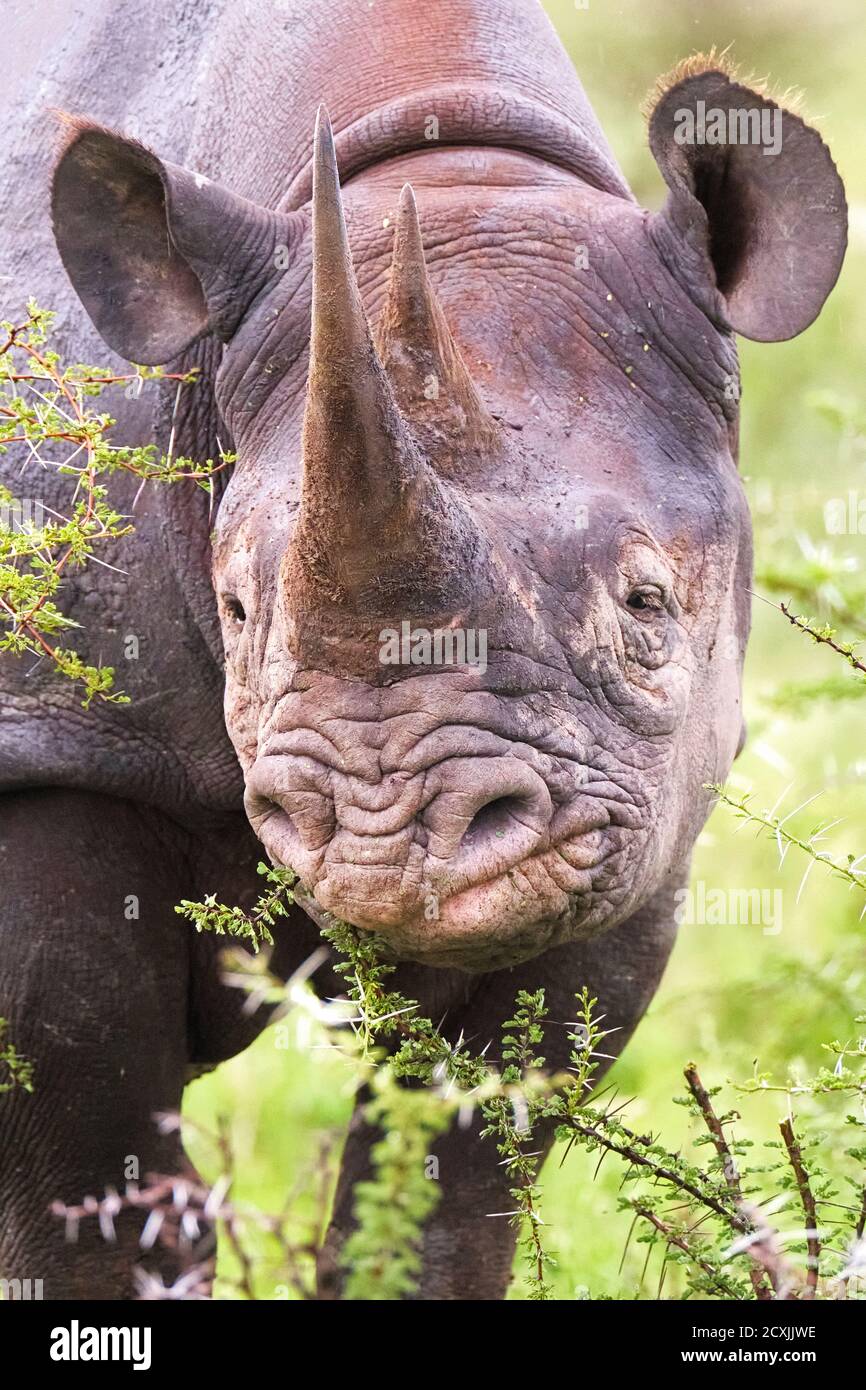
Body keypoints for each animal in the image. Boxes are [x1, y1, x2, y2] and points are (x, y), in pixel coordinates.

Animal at [0, 0, 846, 1300]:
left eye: (646, 605)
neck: (452, 164)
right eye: (237, 609)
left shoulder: (628, 822)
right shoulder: (60, 734)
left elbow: (449, 1180)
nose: (382, 831)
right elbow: (87, 1170)